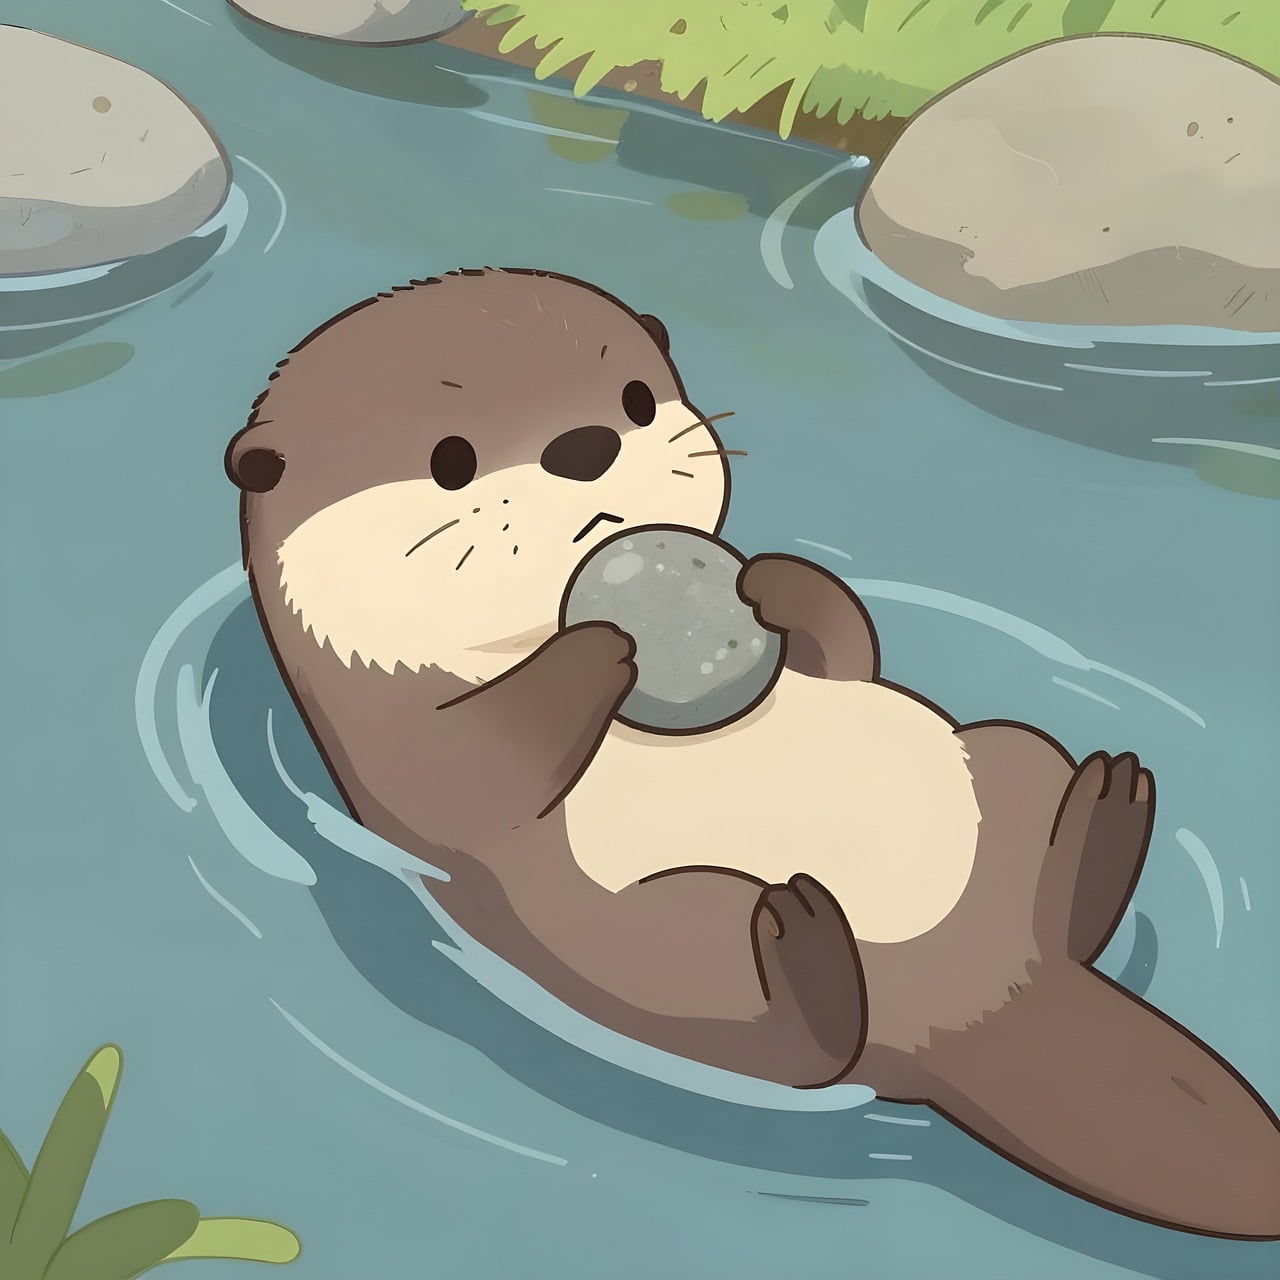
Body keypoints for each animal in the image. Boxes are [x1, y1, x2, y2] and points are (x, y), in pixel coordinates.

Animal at [225, 267, 1280, 1238]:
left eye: (634, 399)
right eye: (451, 460)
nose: (583, 445)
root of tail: (976, 1005)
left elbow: (849, 650)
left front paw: (771, 581)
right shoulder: (386, 725)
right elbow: (473, 769)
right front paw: (605, 639)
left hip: (1000, 762)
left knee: (1044, 858)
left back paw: (1104, 813)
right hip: (641, 941)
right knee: (800, 1045)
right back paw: (803, 939)